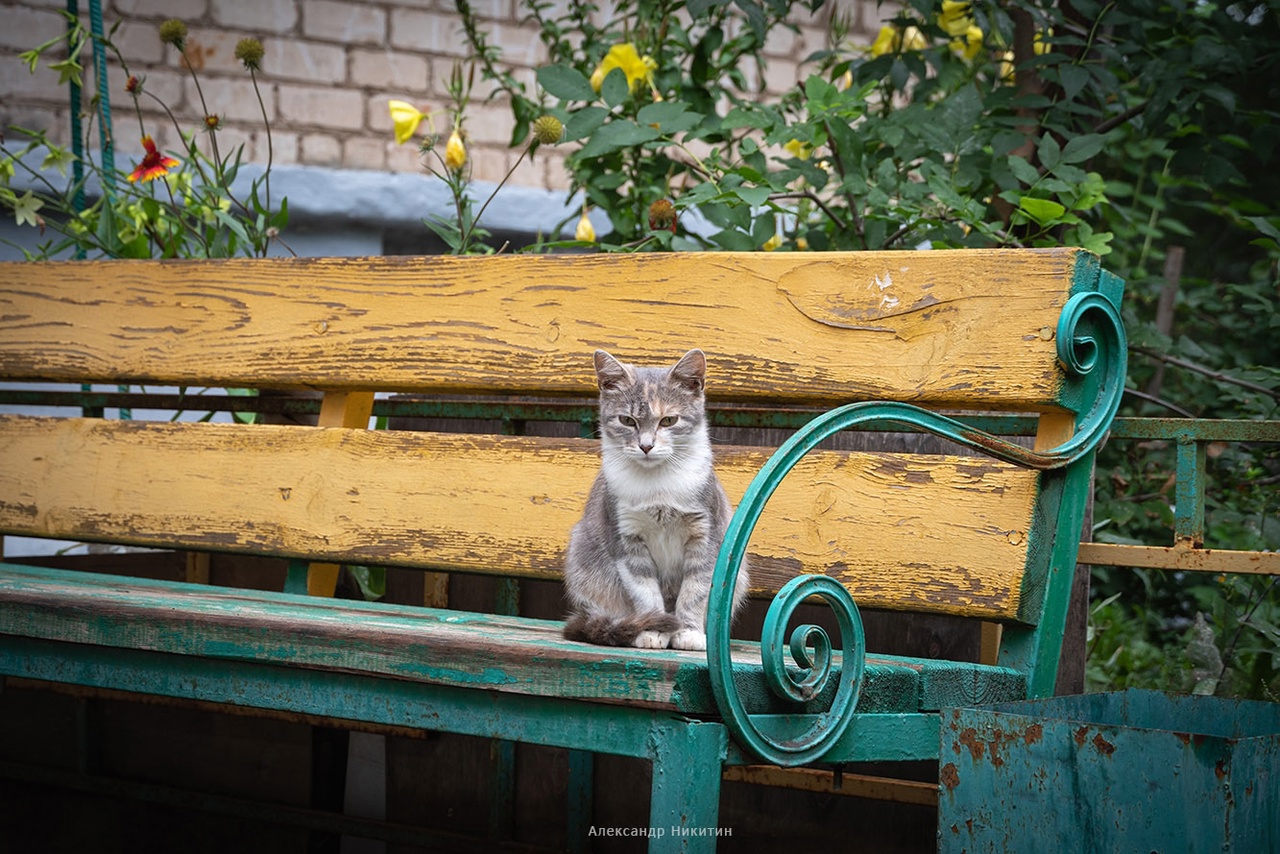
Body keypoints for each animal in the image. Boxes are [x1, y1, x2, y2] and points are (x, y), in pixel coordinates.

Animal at [563, 350, 747, 650]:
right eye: (627, 420)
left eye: (669, 420)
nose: (646, 446)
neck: (657, 486)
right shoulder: (626, 539)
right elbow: (645, 592)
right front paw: (652, 630)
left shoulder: (707, 534)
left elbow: (695, 589)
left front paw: (688, 632)